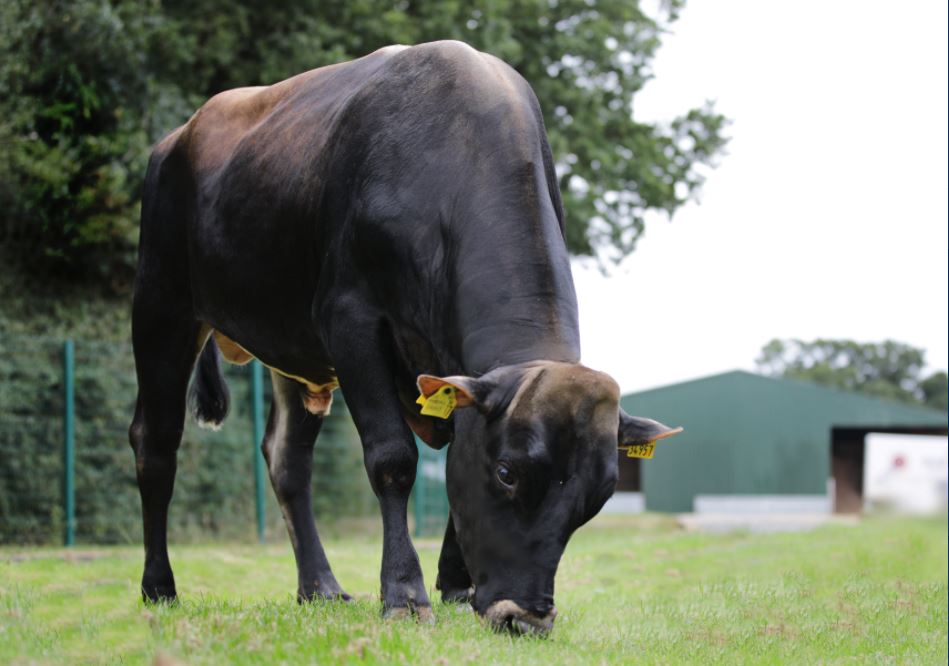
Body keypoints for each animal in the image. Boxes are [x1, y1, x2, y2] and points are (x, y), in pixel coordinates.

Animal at [129, 40, 681, 635]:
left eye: (597, 498)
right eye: (507, 472)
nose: (525, 616)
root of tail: (179, 135)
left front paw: (456, 584)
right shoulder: (349, 319)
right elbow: (393, 459)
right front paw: (404, 593)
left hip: (292, 349)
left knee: (287, 460)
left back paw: (320, 587)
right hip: (160, 304)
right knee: (155, 443)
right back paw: (159, 587)